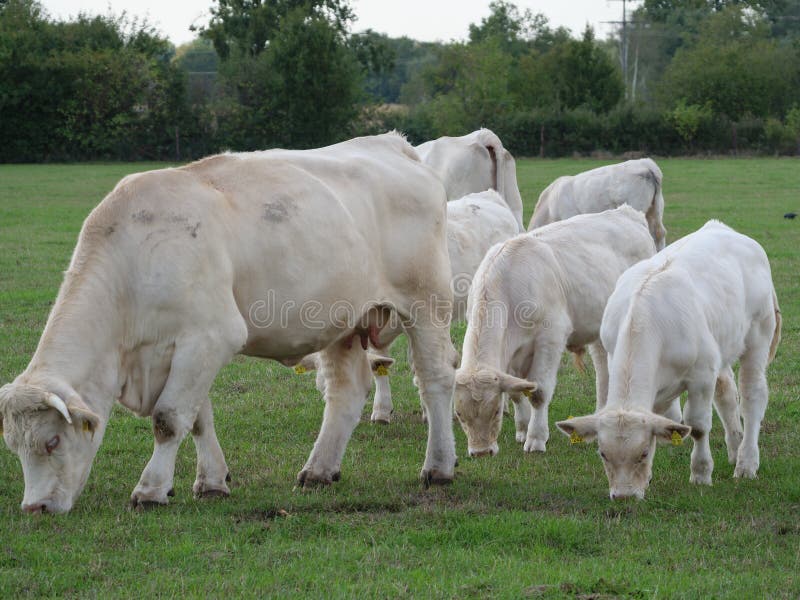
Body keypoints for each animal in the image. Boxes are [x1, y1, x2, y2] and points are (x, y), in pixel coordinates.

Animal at [0, 132, 458, 514]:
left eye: (52, 440)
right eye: (14, 446)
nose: (35, 507)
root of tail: (392, 143)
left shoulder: (209, 337)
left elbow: (169, 419)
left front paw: (151, 489)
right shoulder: (188, 348)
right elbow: (197, 418)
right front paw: (211, 482)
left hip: (427, 303)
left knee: (435, 379)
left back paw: (438, 467)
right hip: (342, 320)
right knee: (347, 392)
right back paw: (319, 470)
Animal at [454, 206, 657, 457]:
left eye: (496, 411)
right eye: (459, 414)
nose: (481, 452)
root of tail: (627, 212)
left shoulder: (550, 338)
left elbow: (539, 392)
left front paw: (536, 438)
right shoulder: (511, 351)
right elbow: (517, 390)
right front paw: (522, 430)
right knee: (603, 368)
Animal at [556, 221, 781, 500]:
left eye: (642, 453)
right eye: (603, 453)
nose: (624, 496)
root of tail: (722, 227)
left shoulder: (701, 376)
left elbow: (697, 425)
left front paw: (701, 473)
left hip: (758, 335)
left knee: (752, 398)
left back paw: (746, 462)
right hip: (721, 345)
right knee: (727, 394)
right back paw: (735, 447)